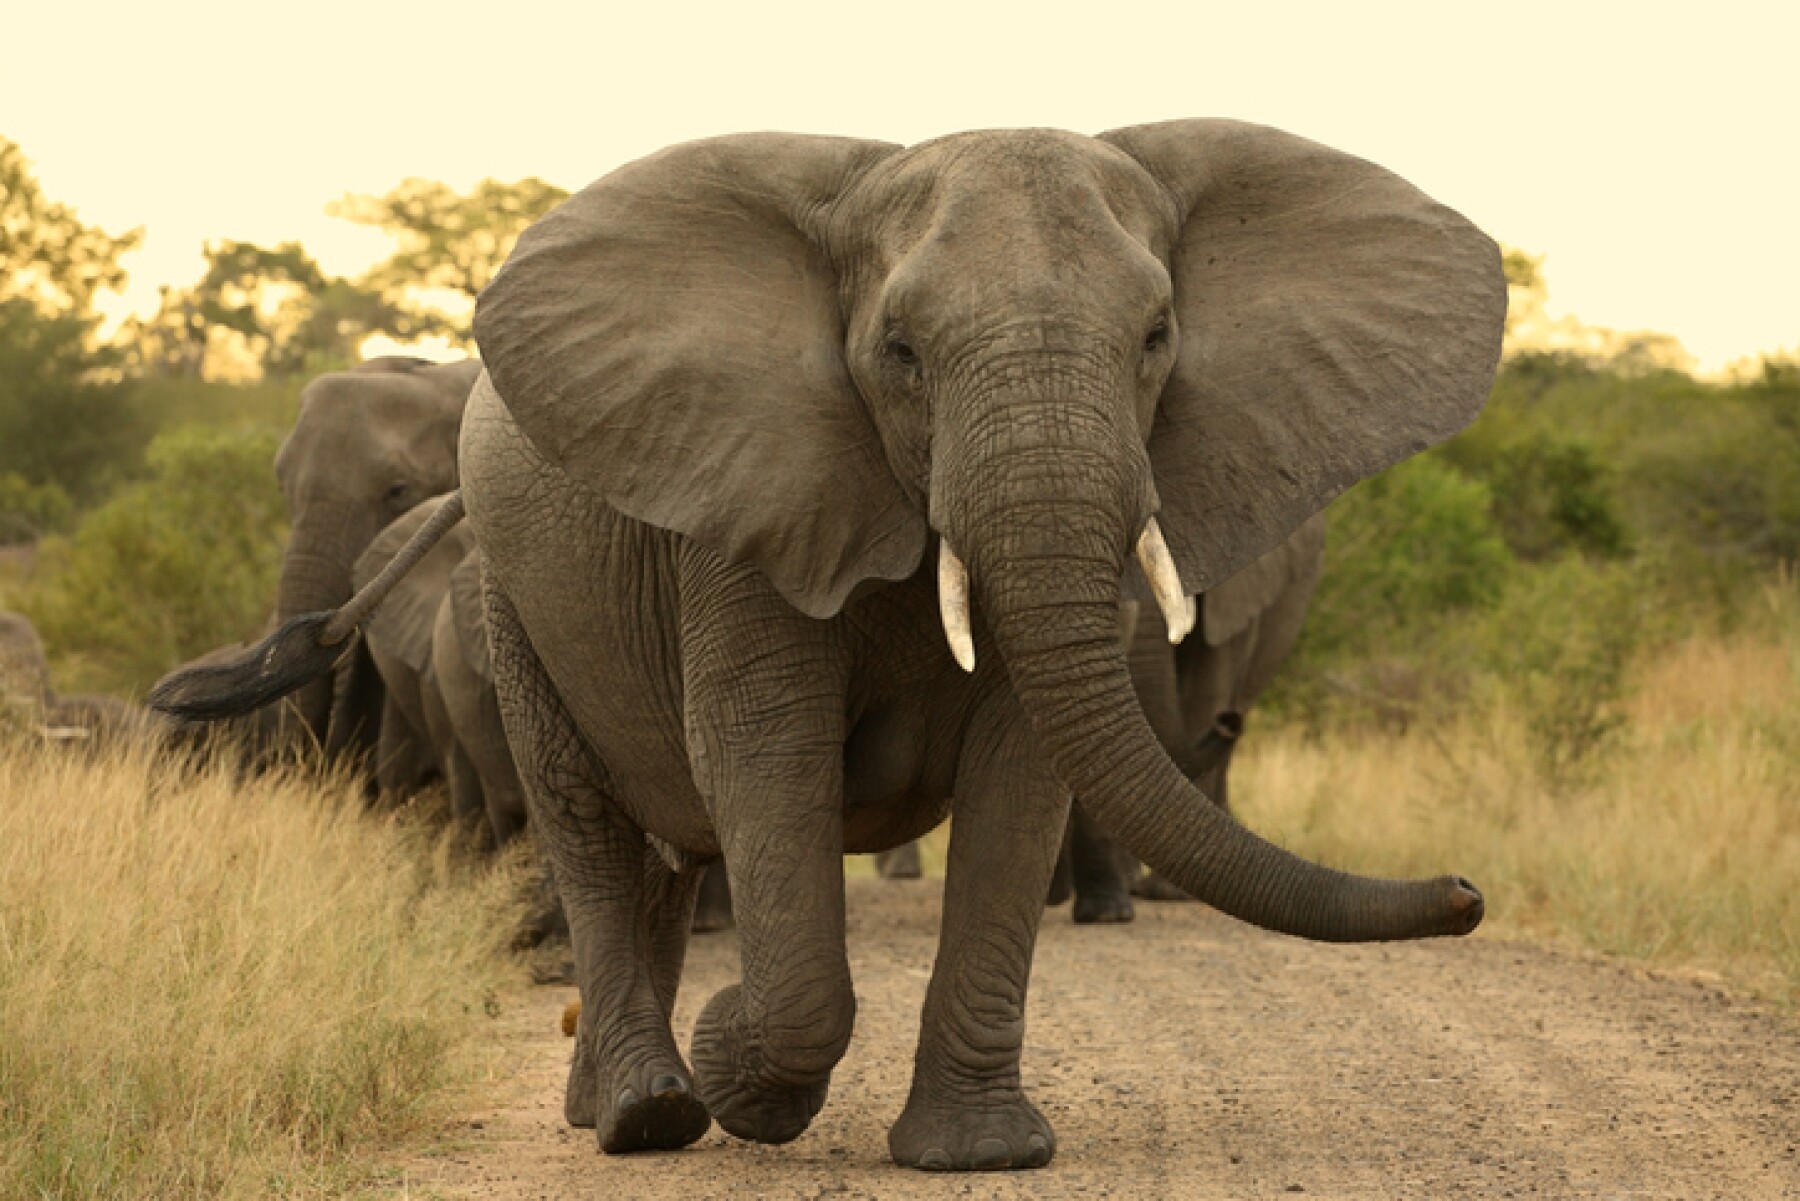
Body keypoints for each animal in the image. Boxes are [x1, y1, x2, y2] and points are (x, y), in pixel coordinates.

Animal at [151, 120, 1505, 1171]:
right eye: (899, 353)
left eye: (1158, 340)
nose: (1467, 888)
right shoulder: (745, 507)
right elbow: (765, 760)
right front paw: (737, 1055)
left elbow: (1022, 770)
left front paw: (979, 1155)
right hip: (513, 604)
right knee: (593, 825)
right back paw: (643, 1116)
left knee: (667, 847)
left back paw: (627, 1094)